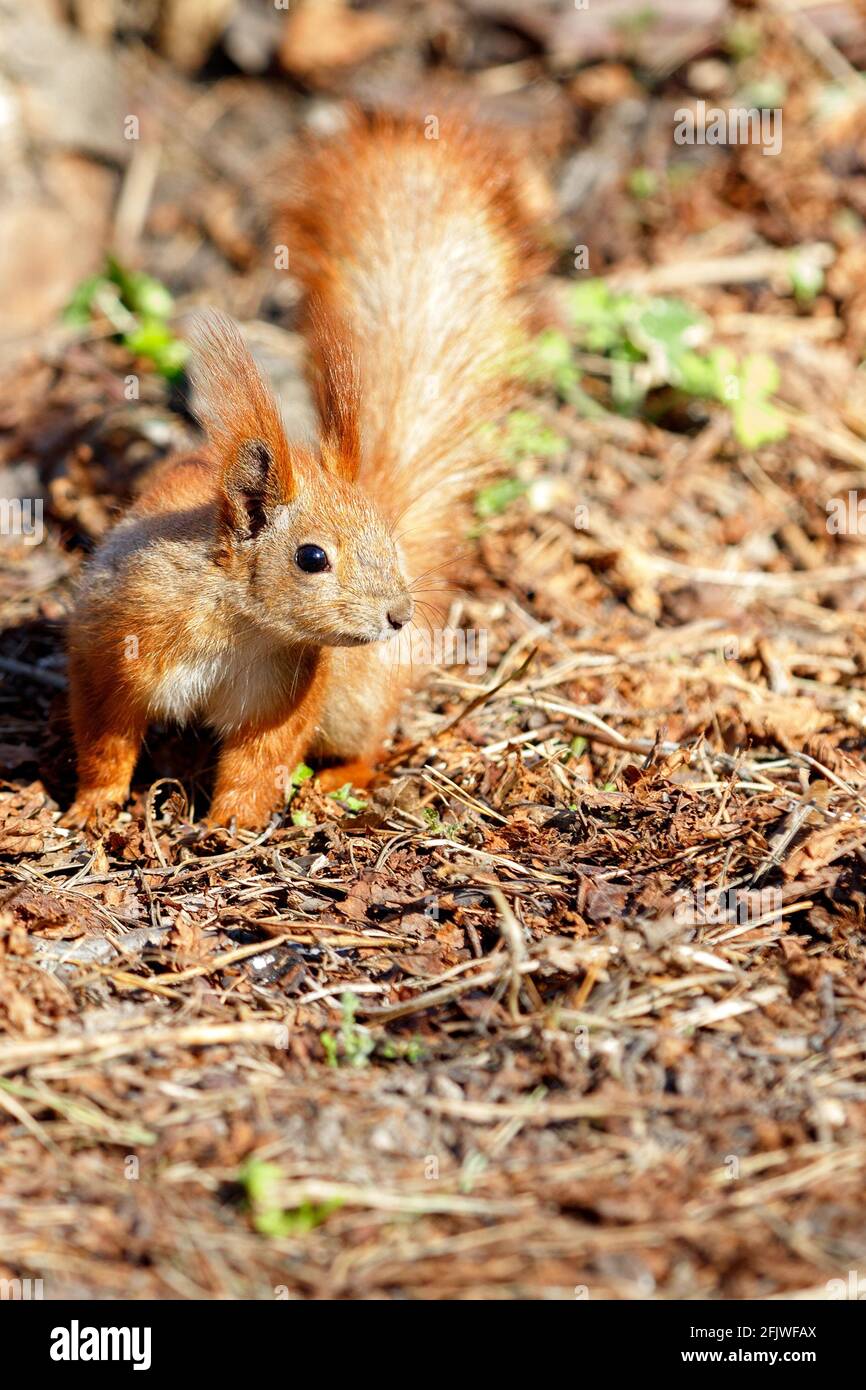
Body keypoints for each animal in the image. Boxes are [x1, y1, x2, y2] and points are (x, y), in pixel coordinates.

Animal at [64, 114, 541, 829]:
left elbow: (261, 760)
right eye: (312, 558)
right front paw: (91, 808)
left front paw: (230, 826)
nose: (398, 615)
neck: (239, 624)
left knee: (369, 747)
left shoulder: (288, 689)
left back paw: (332, 782)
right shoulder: (115, 641)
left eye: (390, 542)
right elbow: (105, 737)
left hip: (354, 697)